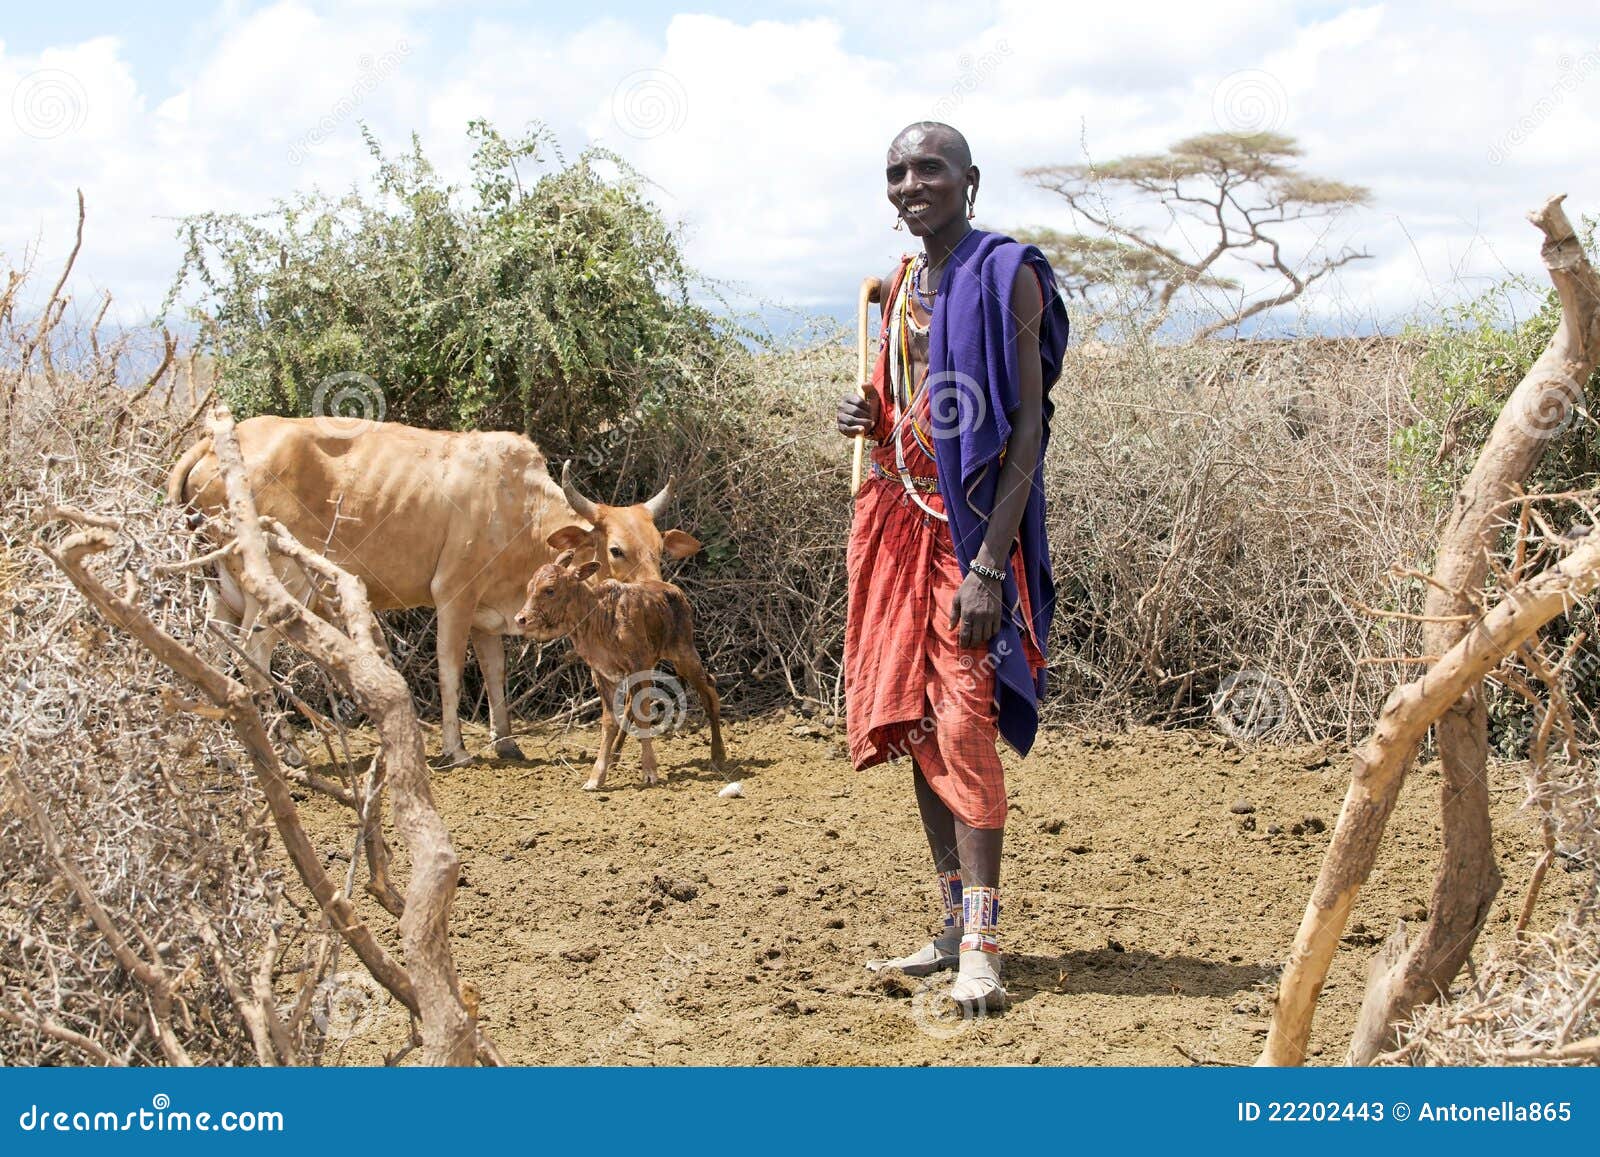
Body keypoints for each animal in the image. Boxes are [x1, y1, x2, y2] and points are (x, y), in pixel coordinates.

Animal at [167, 416, 701, 766]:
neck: (517, 509)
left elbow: (495, 673)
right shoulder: (453, 596)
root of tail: (212, 444)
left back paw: (225, 753)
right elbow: (451, 672)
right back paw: (289, 752)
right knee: (251, 654)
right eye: (615, 550)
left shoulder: (489, 615)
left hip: (218, 586)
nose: (659, 595)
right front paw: (457, 749)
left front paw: (506, 742)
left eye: (659, 547)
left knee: (211, 650)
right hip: (279, 584)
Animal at [514, 550, 725, 790]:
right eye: (529, 587)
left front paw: (649, 772)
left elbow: (643, 713)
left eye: (550, 590)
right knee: (630, 704)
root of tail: (675, 591)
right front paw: (596, 777)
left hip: (683, 652)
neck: (599, 618)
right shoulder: (601, 672)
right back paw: (615, 756)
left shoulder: (638, 664)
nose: (521, 619)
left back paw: (718, 756)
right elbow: (609, 720)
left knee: (709, 690)